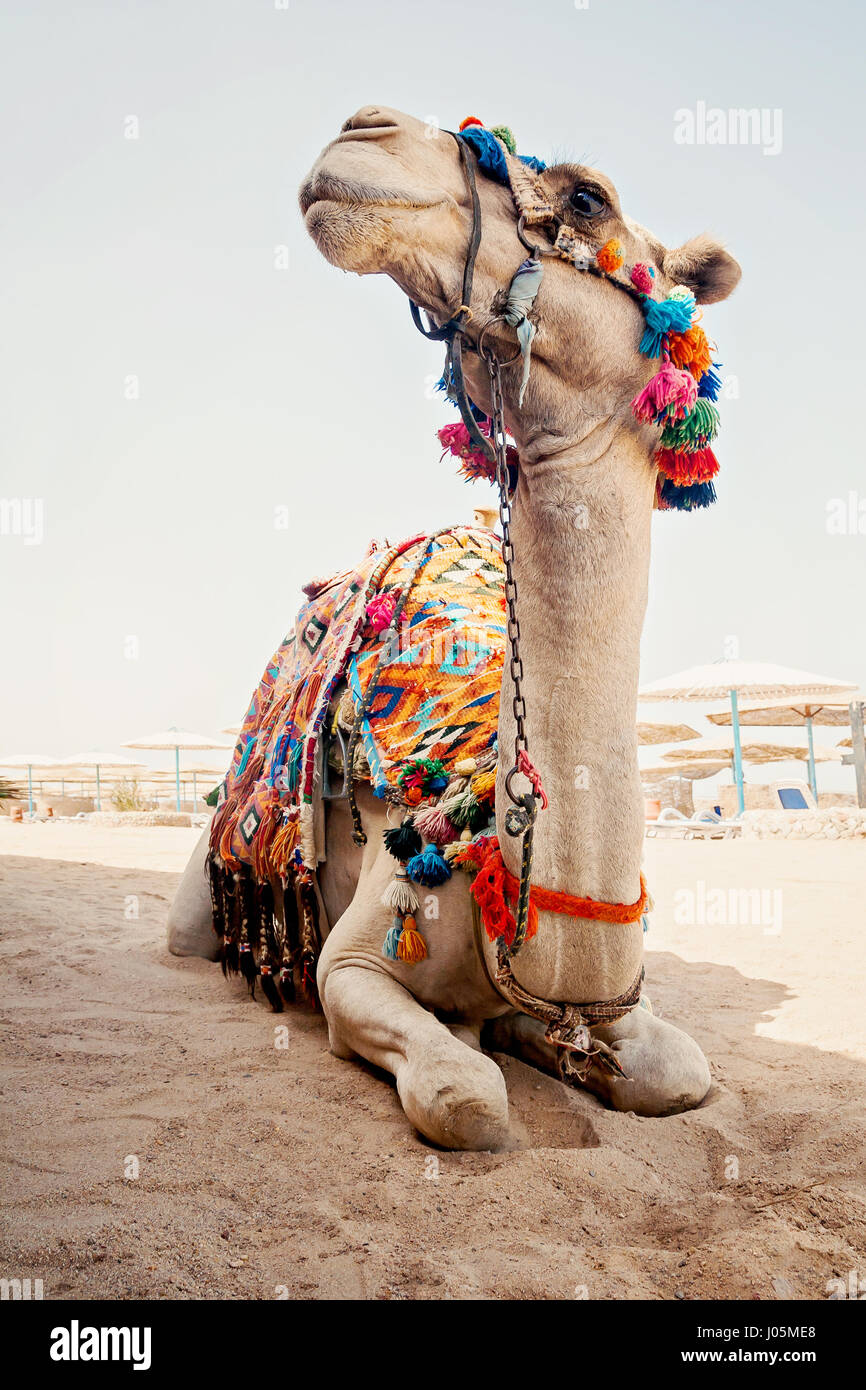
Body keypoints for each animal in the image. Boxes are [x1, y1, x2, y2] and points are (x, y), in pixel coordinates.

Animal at [168, 105, 741, 1150]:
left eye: (588, 196)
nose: (363, 131)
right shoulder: (354, 963)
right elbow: (464, 1097)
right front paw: (484, 1054)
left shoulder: (617, 998)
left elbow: (679, 1075)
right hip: (205, 884)